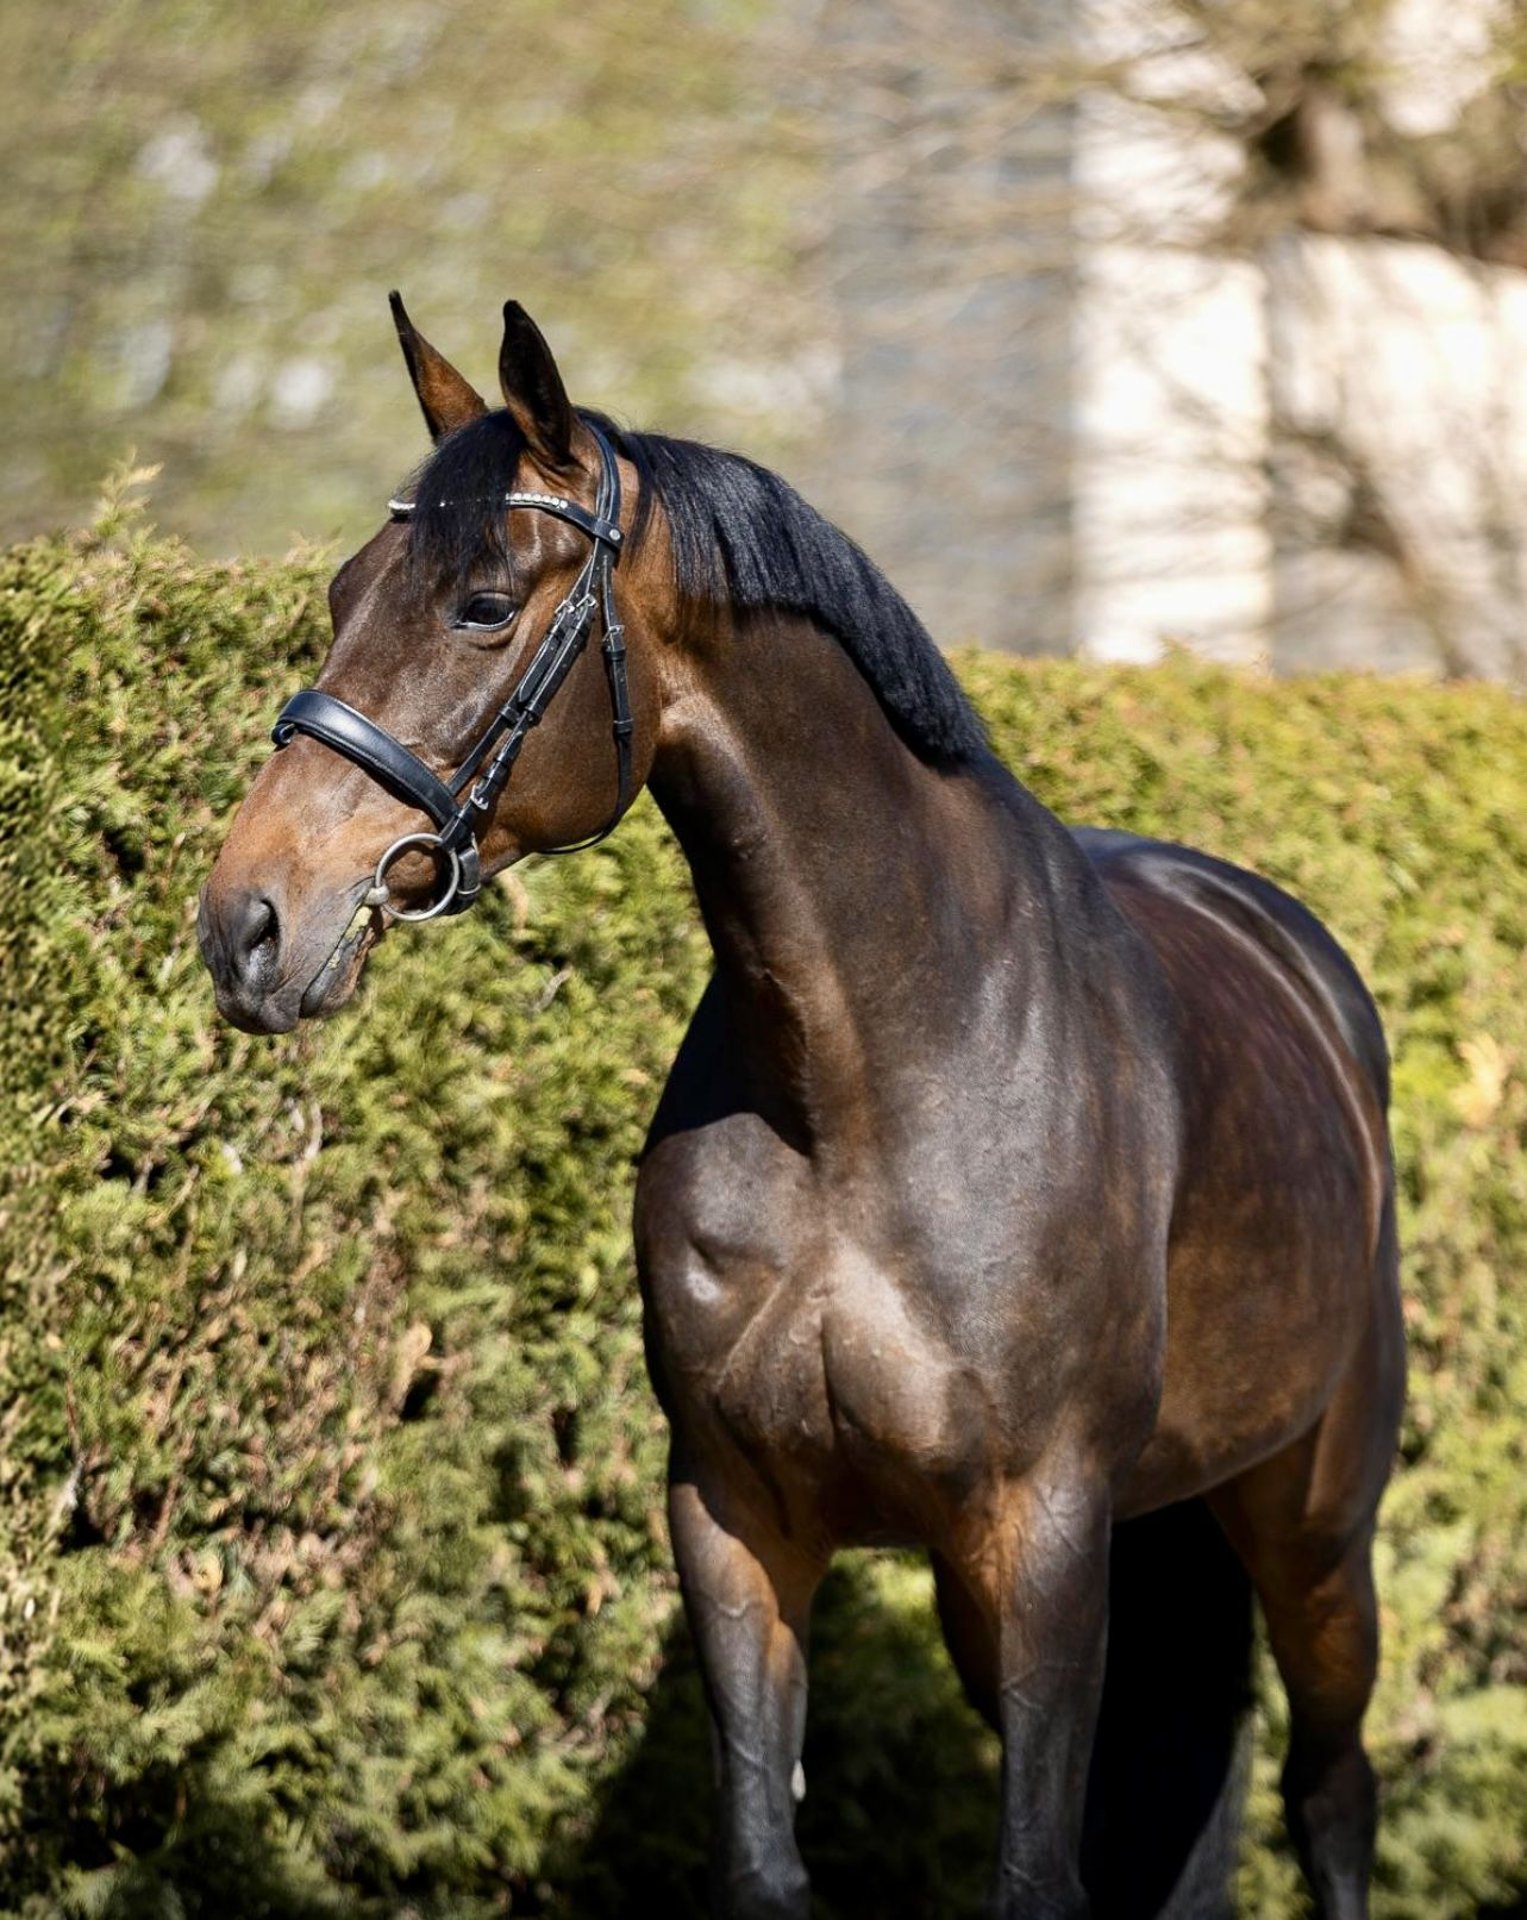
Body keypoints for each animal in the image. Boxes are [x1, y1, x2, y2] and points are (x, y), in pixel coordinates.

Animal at [198, 296, 1405, 1920]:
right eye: (343, 590)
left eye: (482, 605)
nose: (249, 924)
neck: (871, 1074)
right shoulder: (735, 1518)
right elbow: (771, 1863)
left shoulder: (1039, 1528)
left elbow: (1035, 1876)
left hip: (1309, 1527)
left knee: (1330, 1791)